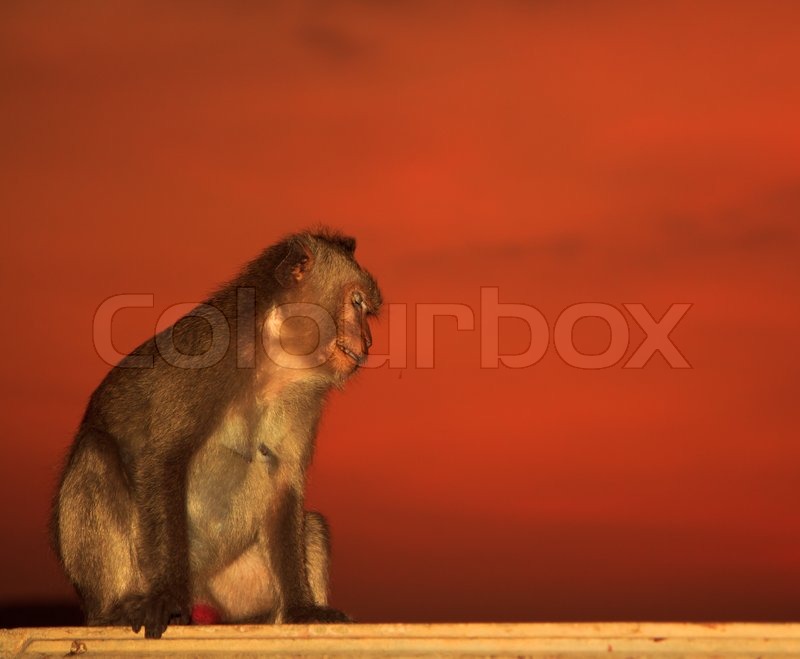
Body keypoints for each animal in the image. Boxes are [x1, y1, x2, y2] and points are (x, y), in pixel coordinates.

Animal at [50, 229, 381, 639]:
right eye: (357, 303)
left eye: (365, 309)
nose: (367, 340)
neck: (270, 362)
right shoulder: (207, 356)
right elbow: (166, 459)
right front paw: (169, 597)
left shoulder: (303, 399)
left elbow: (283, 488)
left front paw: (303, 610)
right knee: (95, 453)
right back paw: (112, 611)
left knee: (313, 524)